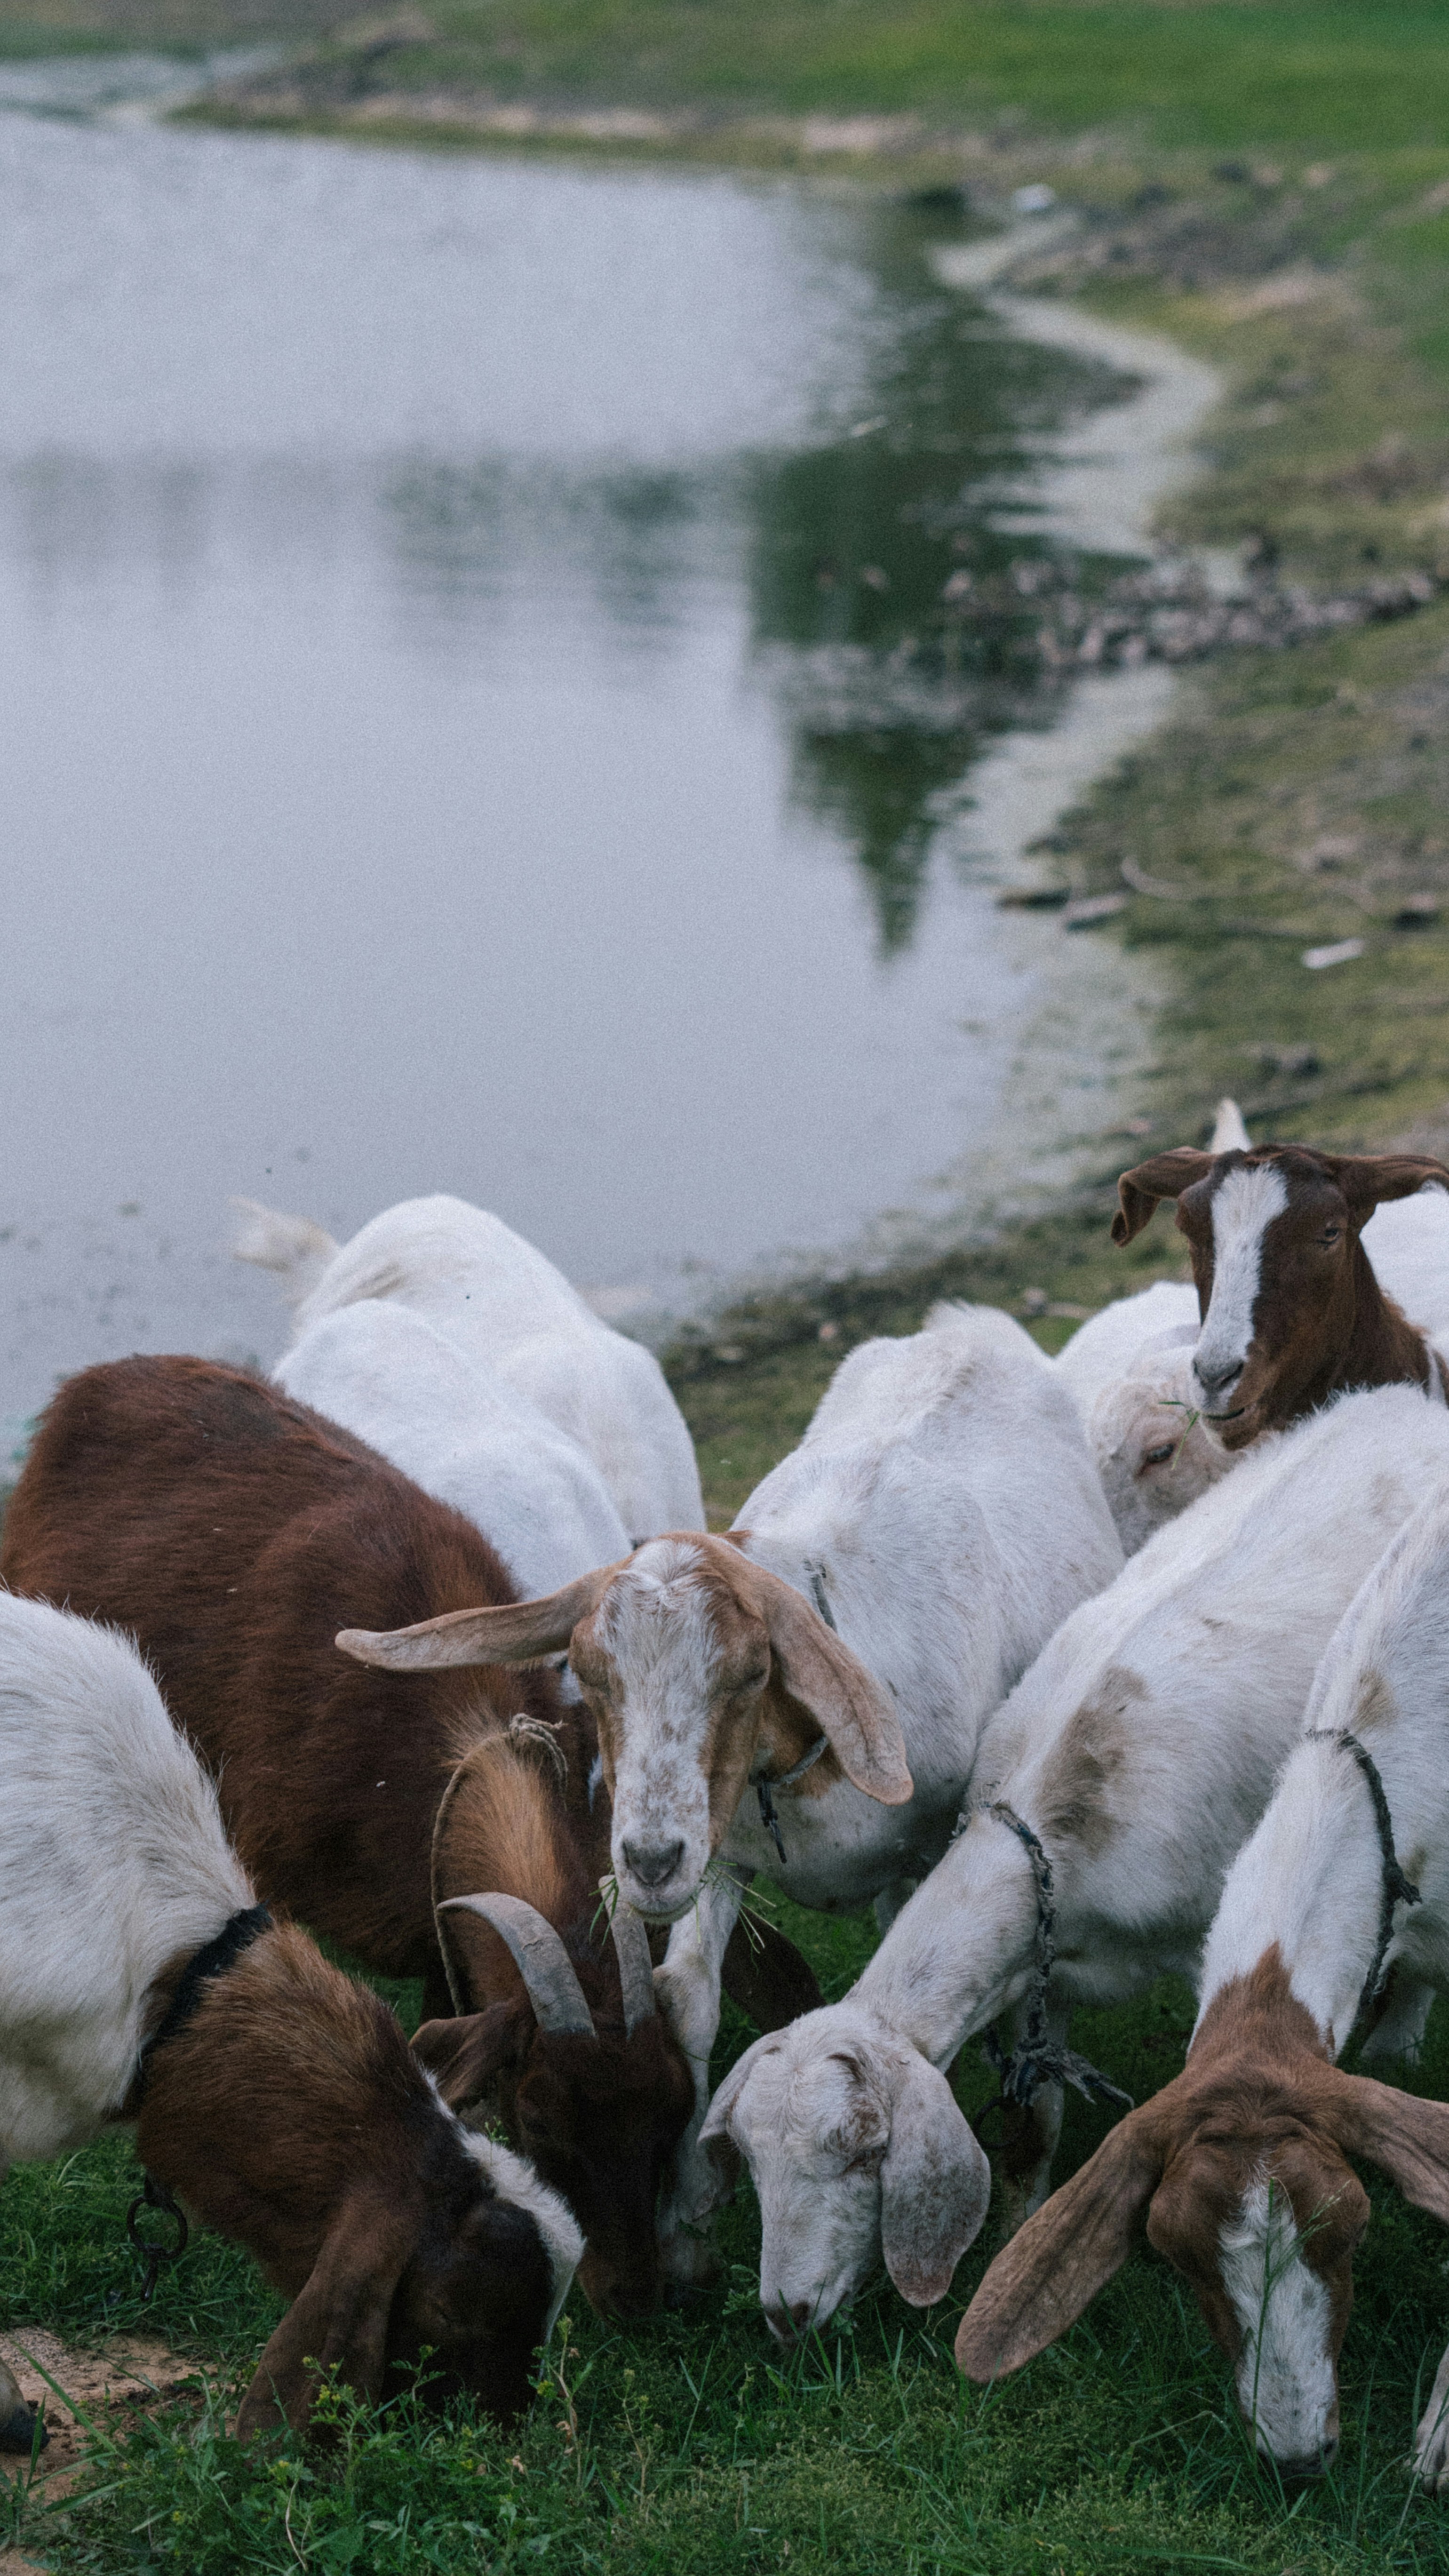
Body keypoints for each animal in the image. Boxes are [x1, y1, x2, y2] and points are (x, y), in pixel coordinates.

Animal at [335, 1302, 1123, 2281]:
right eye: (588, 1672)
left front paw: (1014, 2203)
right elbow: (688, 1999)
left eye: (750, 1672)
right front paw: (685, 2215)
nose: (648, 1859)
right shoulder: (722, 1857)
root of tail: (962, 1324)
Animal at [696, 1384, 1449, 2339]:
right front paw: (1019, 2224)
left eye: (864, 2151)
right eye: (751, 2161)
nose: (786, 2314)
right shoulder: (1038, 1968)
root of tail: (1411, 1399)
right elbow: (1033, 2126)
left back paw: (1399, 2038)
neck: (1058, 1817)